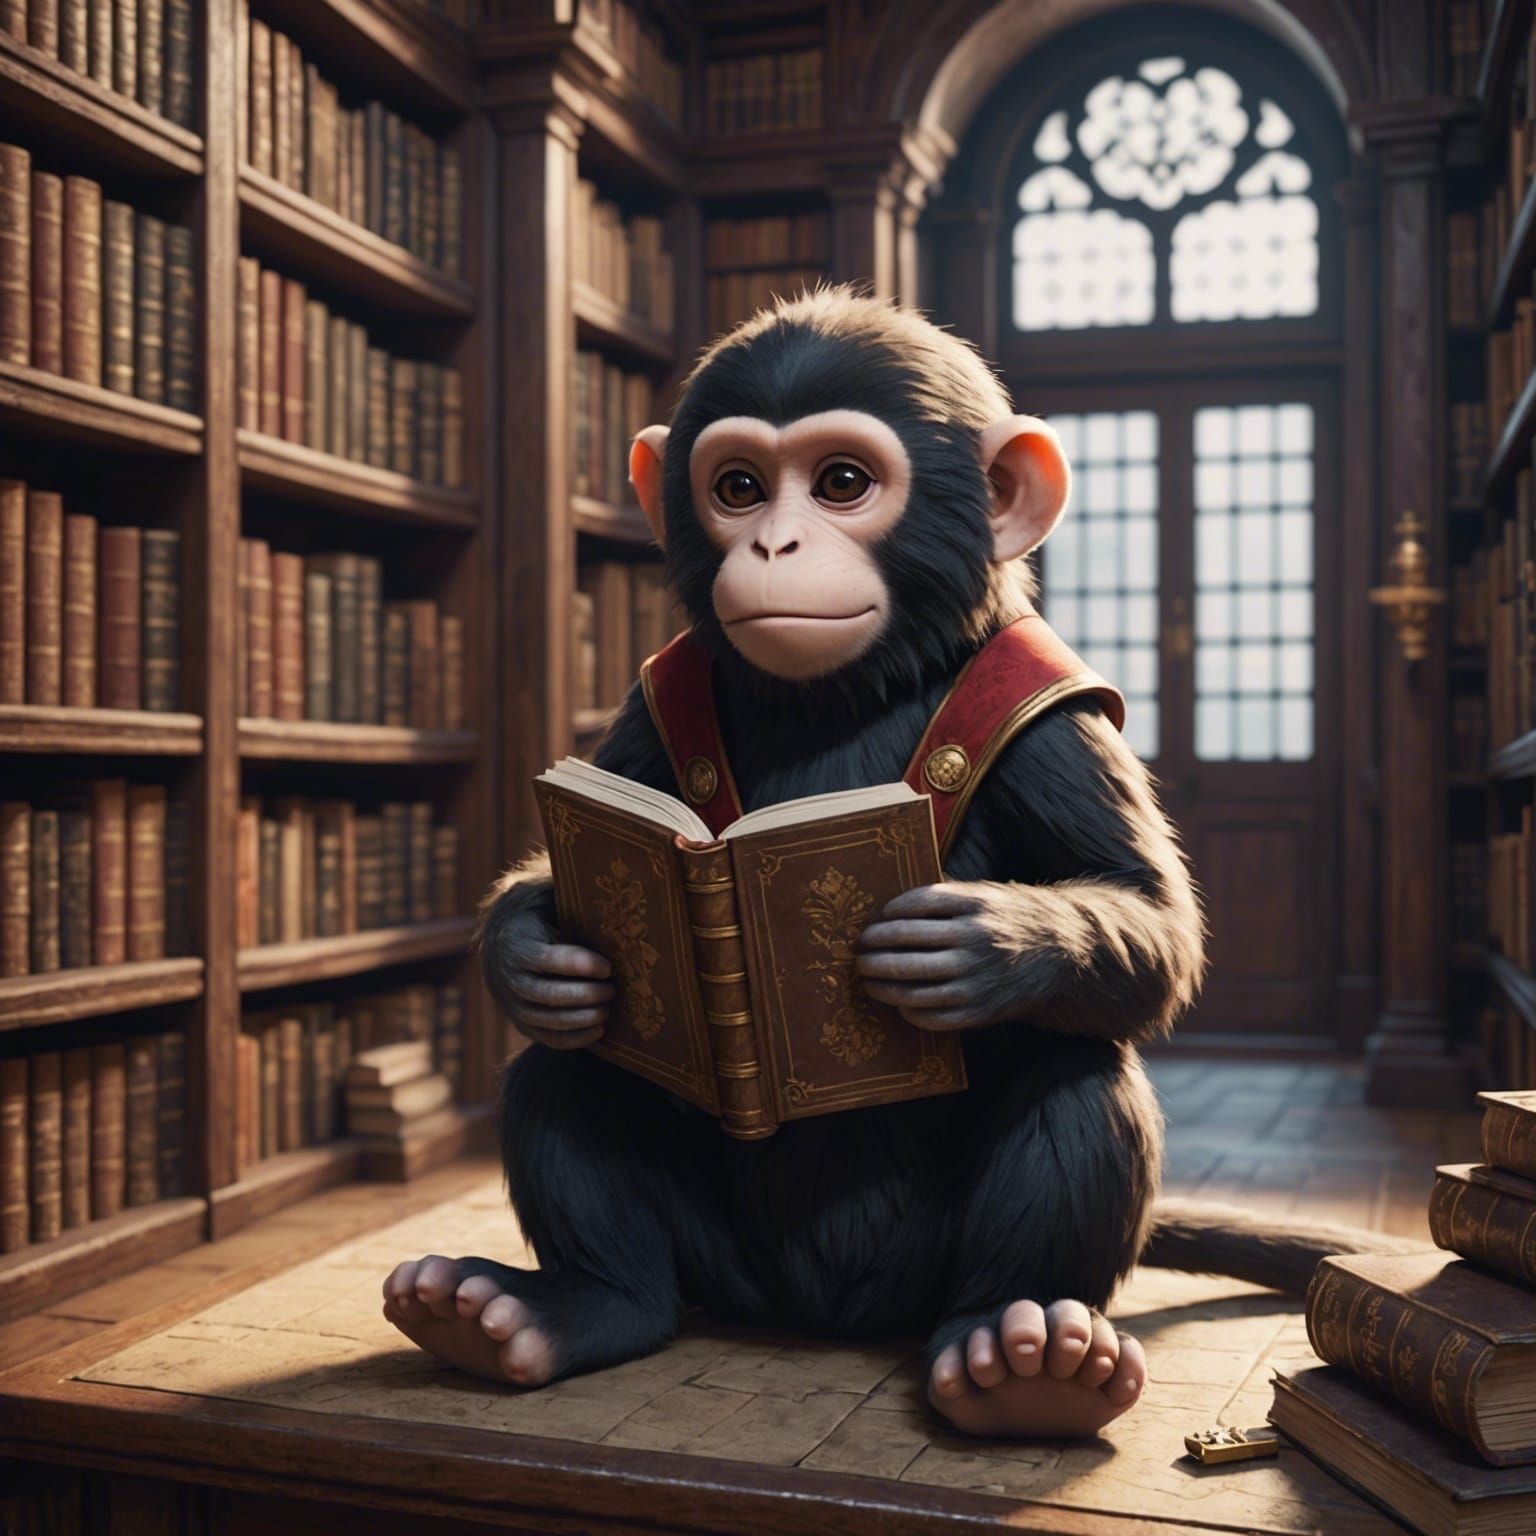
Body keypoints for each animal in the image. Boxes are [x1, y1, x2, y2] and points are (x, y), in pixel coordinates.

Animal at [382, 288, 1413, 1440]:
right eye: (738, 487)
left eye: (842, 483)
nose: (776, 542)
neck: (852, 690)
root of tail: (814, 1318)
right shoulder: (655, 704)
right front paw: (531, 949)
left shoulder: (1056, 727)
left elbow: (1151, 916)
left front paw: (985, 944)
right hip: (716, 1267)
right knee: (578, 1064)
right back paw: (552, 1309)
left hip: (922, 1278)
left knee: (1077, 1073)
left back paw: (1023, 1357)